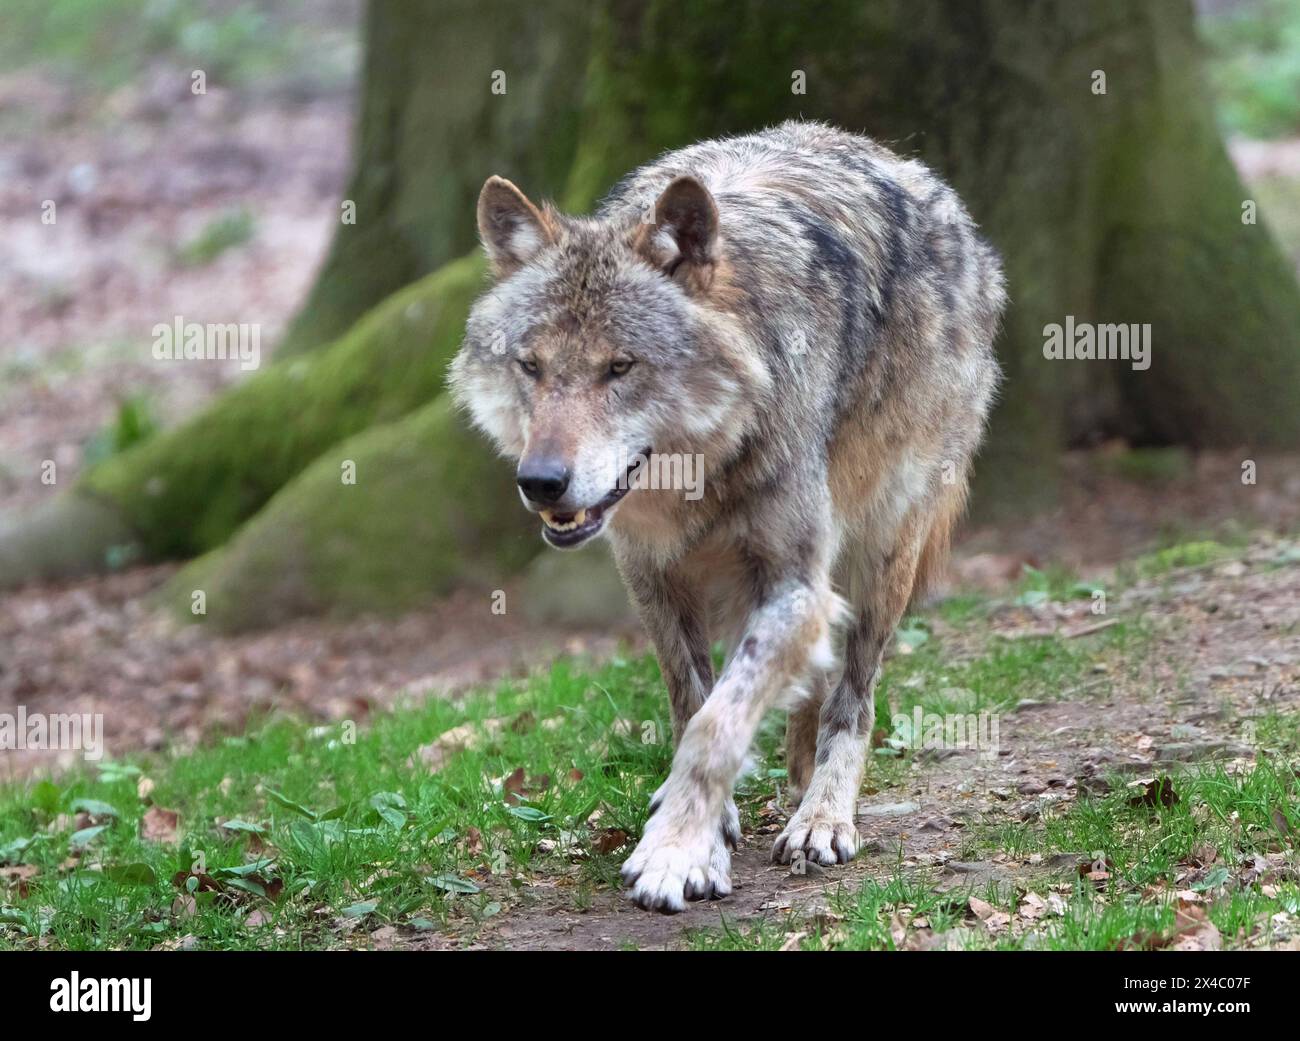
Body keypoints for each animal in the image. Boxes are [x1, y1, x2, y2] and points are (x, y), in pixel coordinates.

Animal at [450, 121, 1005, 912]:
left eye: (621, 366)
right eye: (532, 366)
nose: (541, 482)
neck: (701, 473)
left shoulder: (796, 585)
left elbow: (717, 726)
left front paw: (673, 853)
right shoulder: (653, 581)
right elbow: (694, 706)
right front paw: (704, 839)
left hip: (885, 552)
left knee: (854, 700)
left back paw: (822, 815)